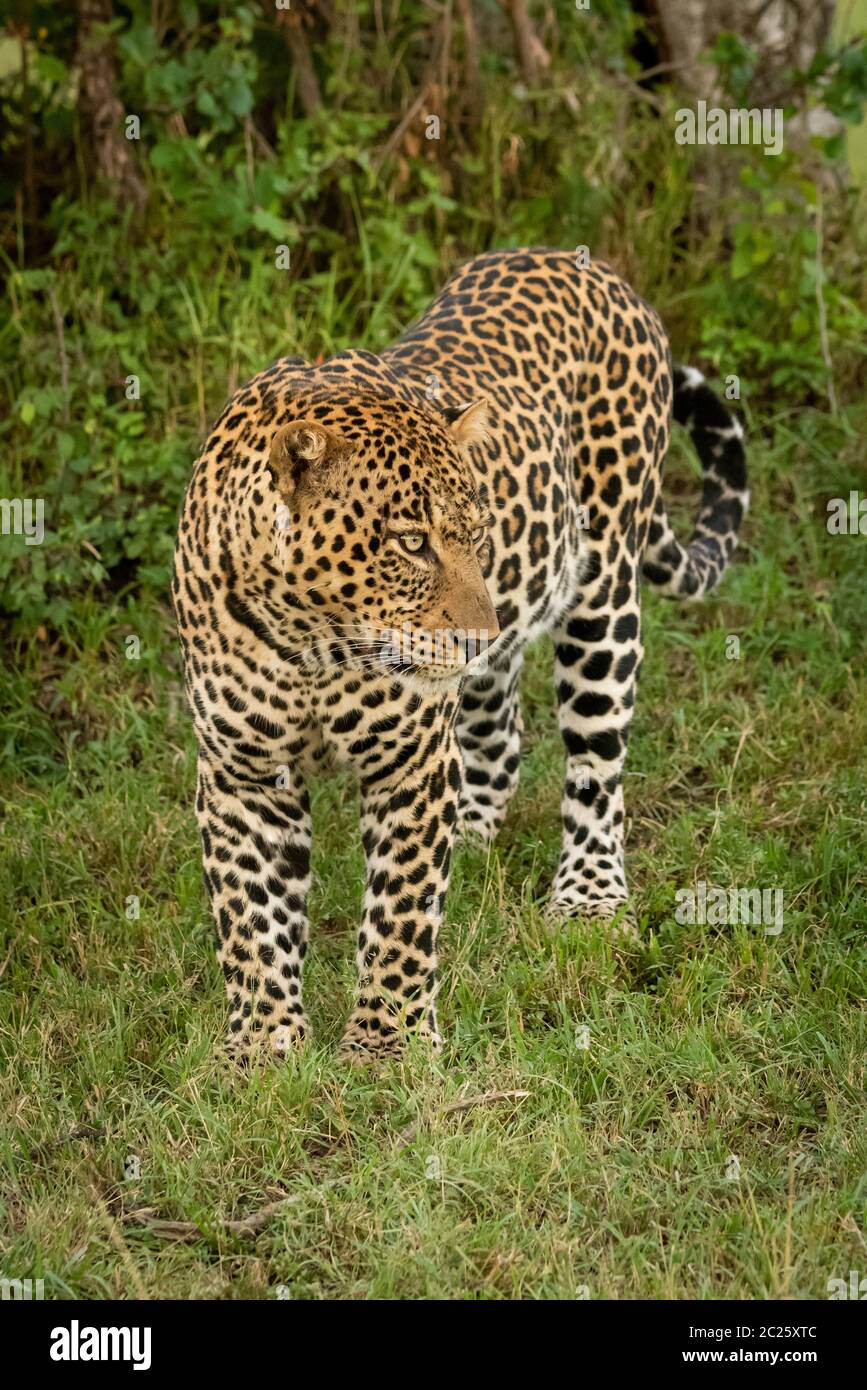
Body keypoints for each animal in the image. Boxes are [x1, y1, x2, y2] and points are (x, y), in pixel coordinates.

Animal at [173, 248, 748, 1063]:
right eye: (413, 542)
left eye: (474, 534)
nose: (480, 630)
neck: (312, 638)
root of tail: (586, 264)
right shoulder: (242, 771)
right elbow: (251, 917)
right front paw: (260, 1046)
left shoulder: (409, 762)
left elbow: (401, 912)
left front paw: (385, 1047)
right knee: (498, 735)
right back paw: (474, 834)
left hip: (604, 594)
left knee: (597, 762)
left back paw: (588, 894)